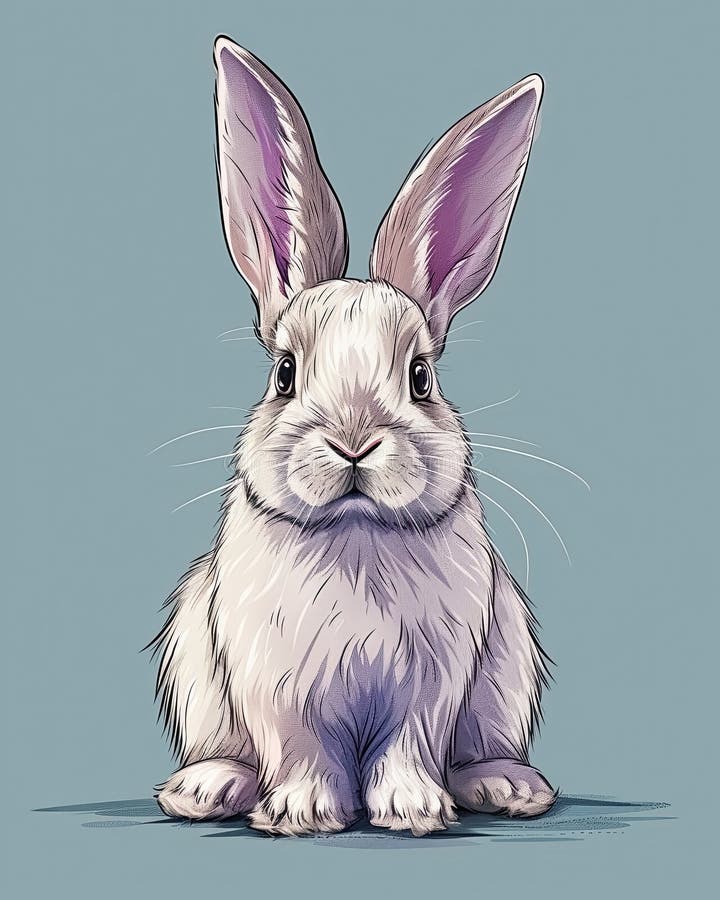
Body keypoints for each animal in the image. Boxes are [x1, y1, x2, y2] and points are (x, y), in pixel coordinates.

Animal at [150, 36, 557, 837]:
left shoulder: (431, 686)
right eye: (284, 373)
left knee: (479, 750)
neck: (356, 531)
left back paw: (508, 785)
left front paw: (411, 809)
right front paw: (302, 812)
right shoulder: (277, 683)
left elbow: (409, 744)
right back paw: (207, 788)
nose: (354, 440)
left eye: (421, 377)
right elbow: (300, 745)